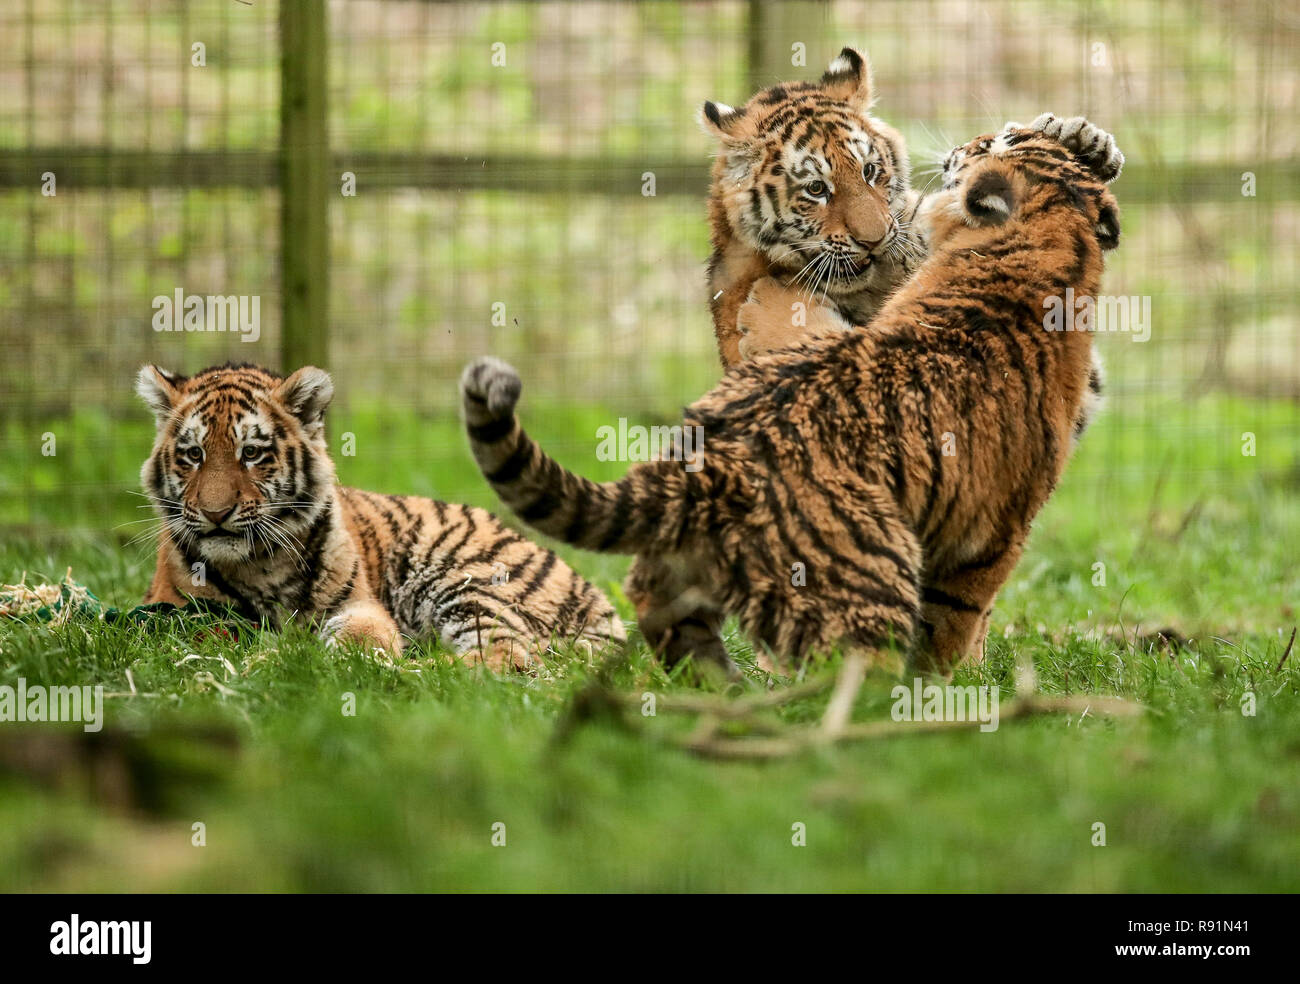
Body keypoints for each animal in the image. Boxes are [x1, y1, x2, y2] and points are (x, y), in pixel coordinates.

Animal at [137, 362, 624, 670]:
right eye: (194, 455)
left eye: (252, 453)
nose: (215, 513)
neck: (260, 563)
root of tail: (599, 604)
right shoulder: (175, 610)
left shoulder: (360, 605)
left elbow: (357, 638)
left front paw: (298, 660)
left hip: (461, 577)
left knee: (512, 660)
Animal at [461, 118, 1123, 679]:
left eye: (995, 143)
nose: (967, 141)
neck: (1049, 249)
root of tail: (716, 472)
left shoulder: (991, 530)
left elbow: (950, 619)